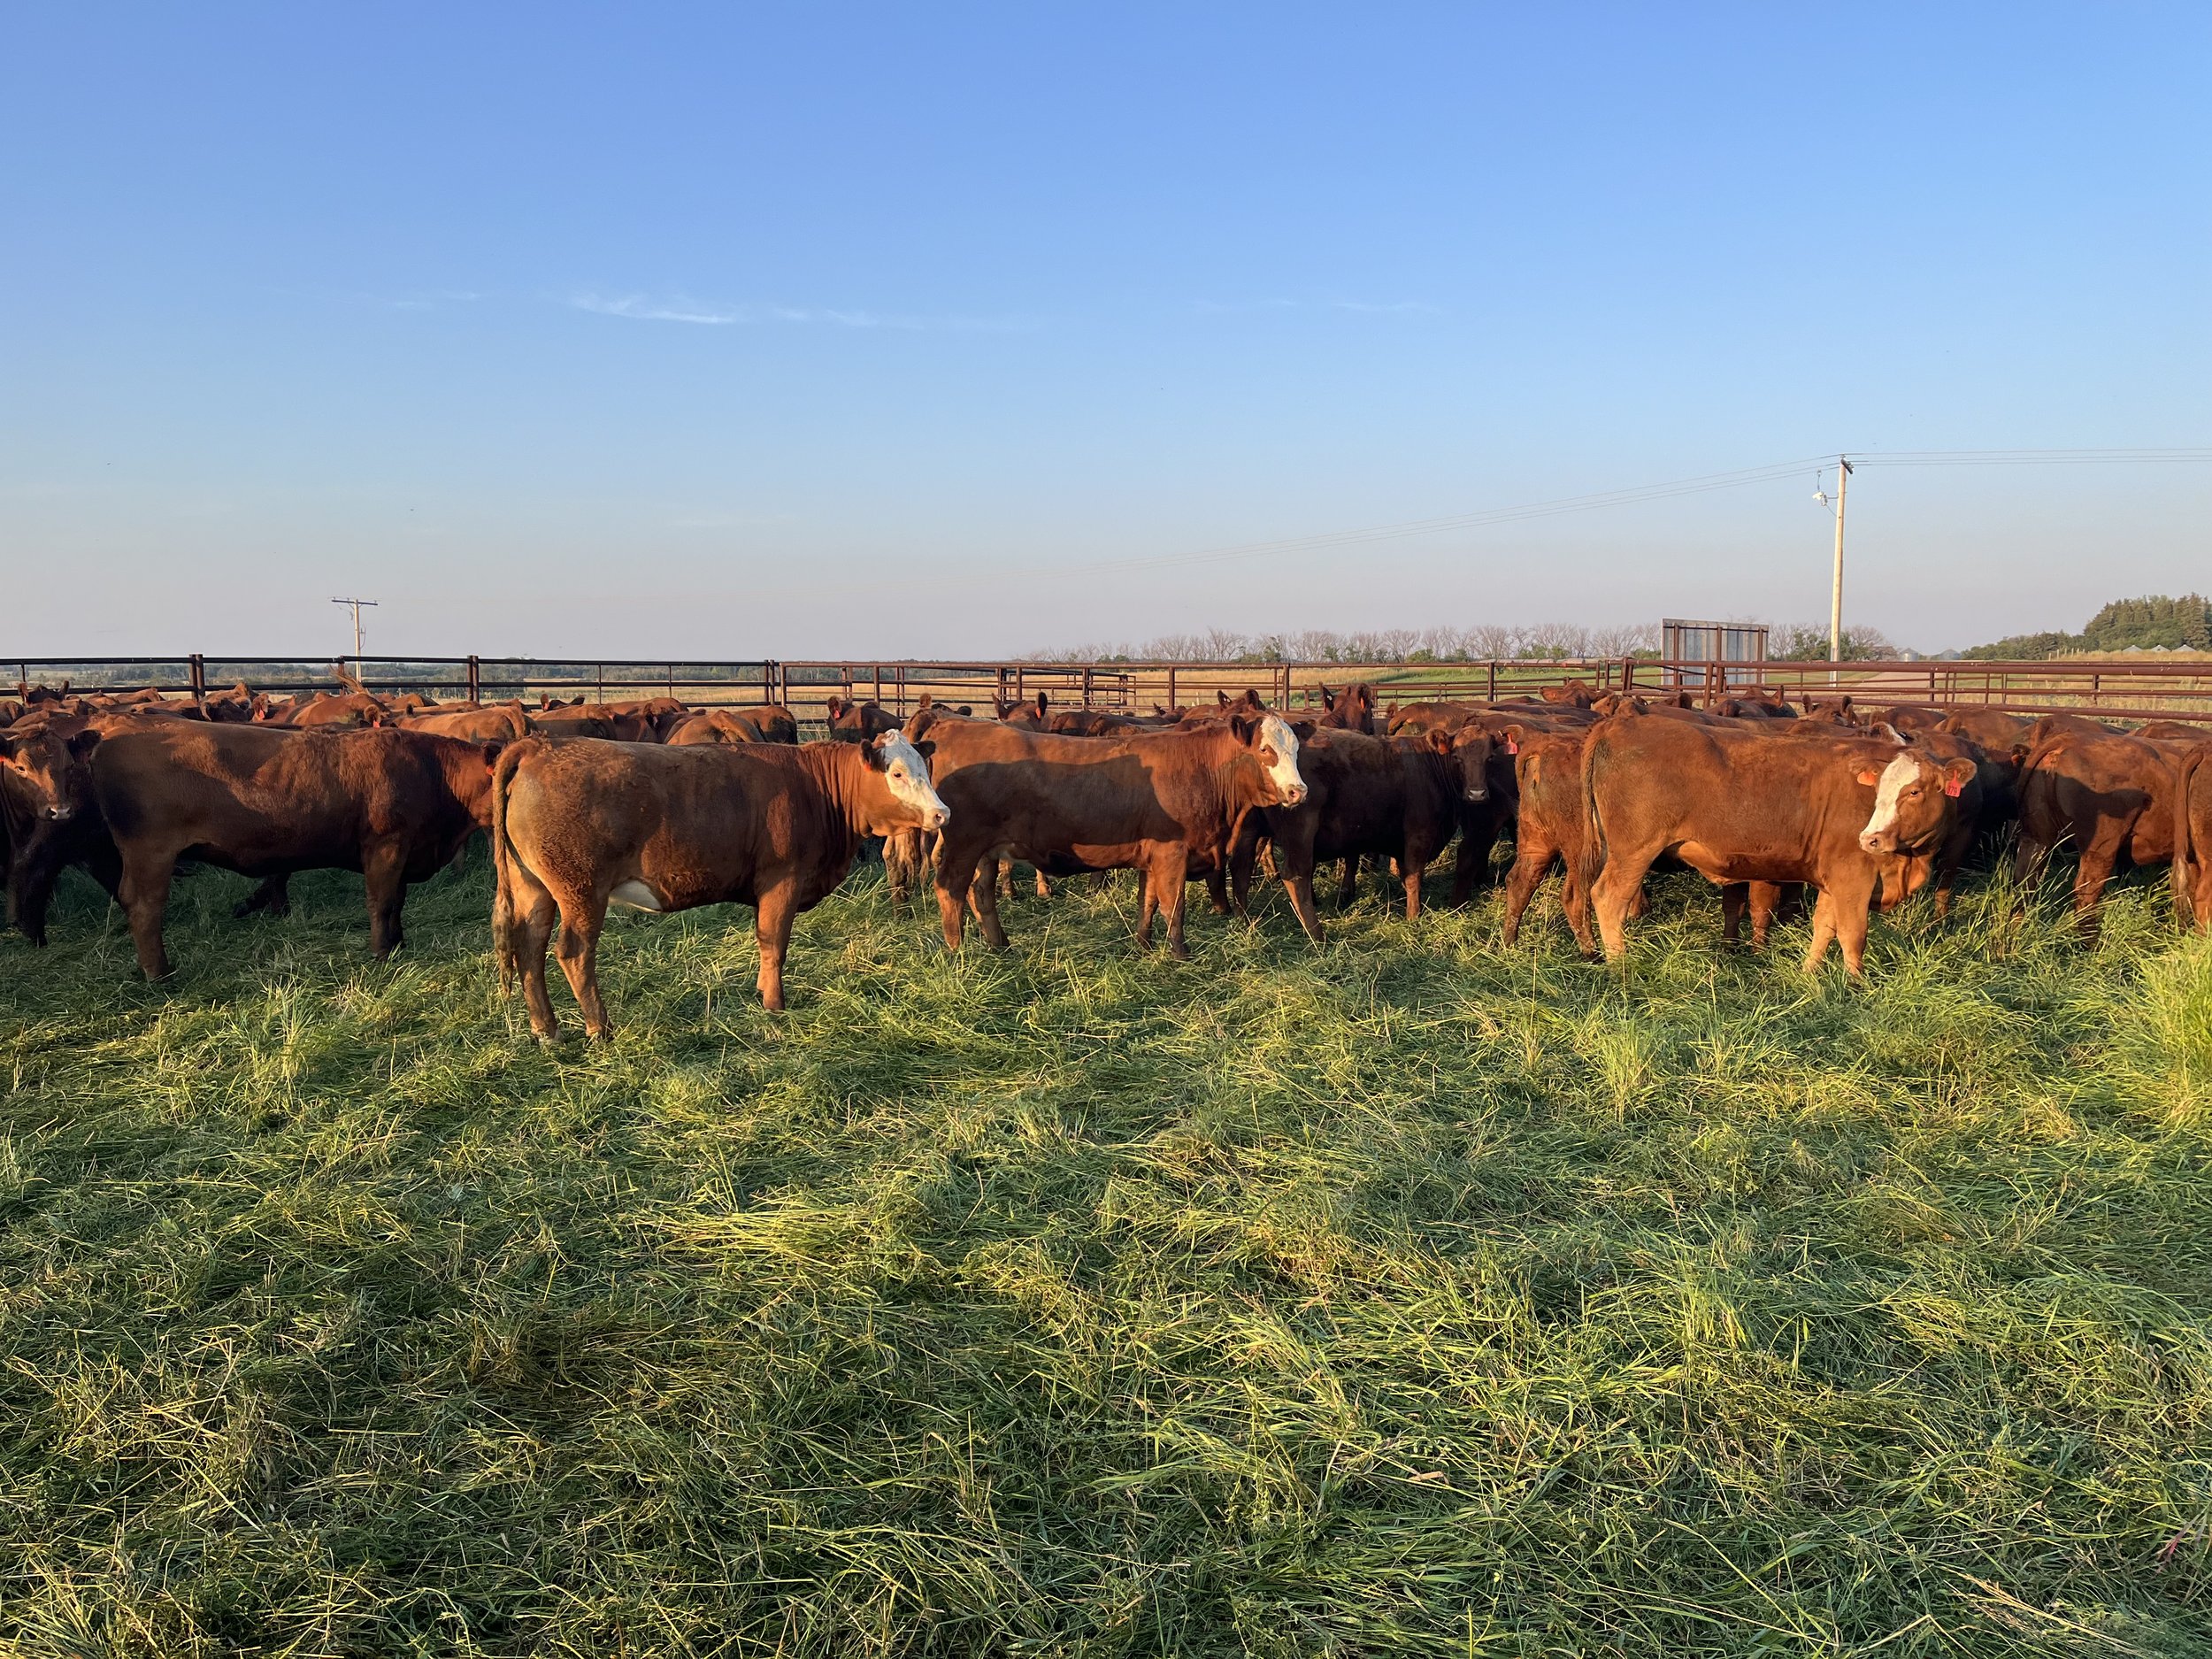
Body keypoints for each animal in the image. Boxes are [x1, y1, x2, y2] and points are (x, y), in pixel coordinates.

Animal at [32, 723, 502, 977]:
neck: (433, 772)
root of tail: (110, 739)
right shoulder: (385, 846)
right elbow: (381, 902)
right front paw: (382, 952)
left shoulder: (405, 852)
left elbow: (398, 902)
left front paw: (400, 943)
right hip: (151, 854)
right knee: (144, 906)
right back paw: (160, 973)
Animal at [489, 731, 948, 1032]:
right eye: (898, 774)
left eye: (924, 768)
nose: (941, 813)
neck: (813, 787)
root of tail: (538, 745)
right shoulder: (782, 880)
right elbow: (774, 942)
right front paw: (775, 1005)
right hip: (581, 891)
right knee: (573, 953)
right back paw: (600, 1029)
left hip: (534, 887)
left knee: (529, 950)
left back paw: (547, 1030)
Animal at [912, 710, 1306, 958]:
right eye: (1265, 749)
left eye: (1297, 749)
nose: (1298, 791)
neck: (1201, 769)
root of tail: (949, 723)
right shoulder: (1173, 852)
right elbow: (1173, 907)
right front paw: (1181, 955)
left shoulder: (1153, 855)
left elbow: (1148, 902)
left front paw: (1144, 946)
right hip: (964, 845)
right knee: (950, 889)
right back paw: (957, 952)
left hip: (986, 851)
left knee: (982, 894)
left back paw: (1001, 947)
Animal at [1581, 714, 1974, 973]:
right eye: (1879, 789)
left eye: (1915, 791)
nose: (1870, 839)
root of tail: (1618, 724)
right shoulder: (1852, 876)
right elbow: (1853, 934)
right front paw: (1856, 986)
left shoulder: (1832, 880)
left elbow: (1825, 927)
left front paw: (1809, 974)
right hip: (1634, 851)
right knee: (1609, 898)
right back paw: (1620, 966)